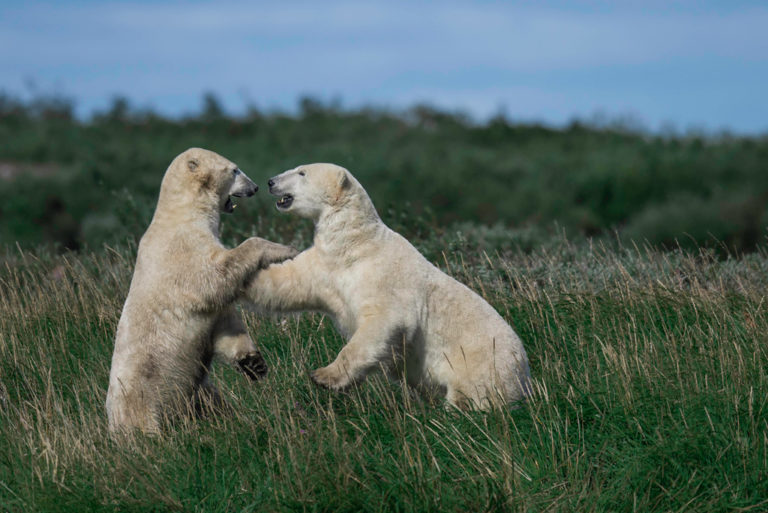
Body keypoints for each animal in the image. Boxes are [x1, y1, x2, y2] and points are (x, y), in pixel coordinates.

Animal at [105, 148, 297, 433]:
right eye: (235, 170)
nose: (254, 187)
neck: (181, 214)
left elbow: (224, 324)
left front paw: (254, 363)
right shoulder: (184, 250)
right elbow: (214, 278)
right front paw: (286, 249)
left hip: (191, 391)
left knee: (209, 399)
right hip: (141, 394)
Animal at [244, 163, 531, 410]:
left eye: (301, 172)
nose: (270, 182)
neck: (355, 242)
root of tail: (526, 375)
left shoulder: (383, 275)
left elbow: (386, 321)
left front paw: (324, 376)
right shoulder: (325, 266)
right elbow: (286, 282)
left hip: (481, 361)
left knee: (474, 394)